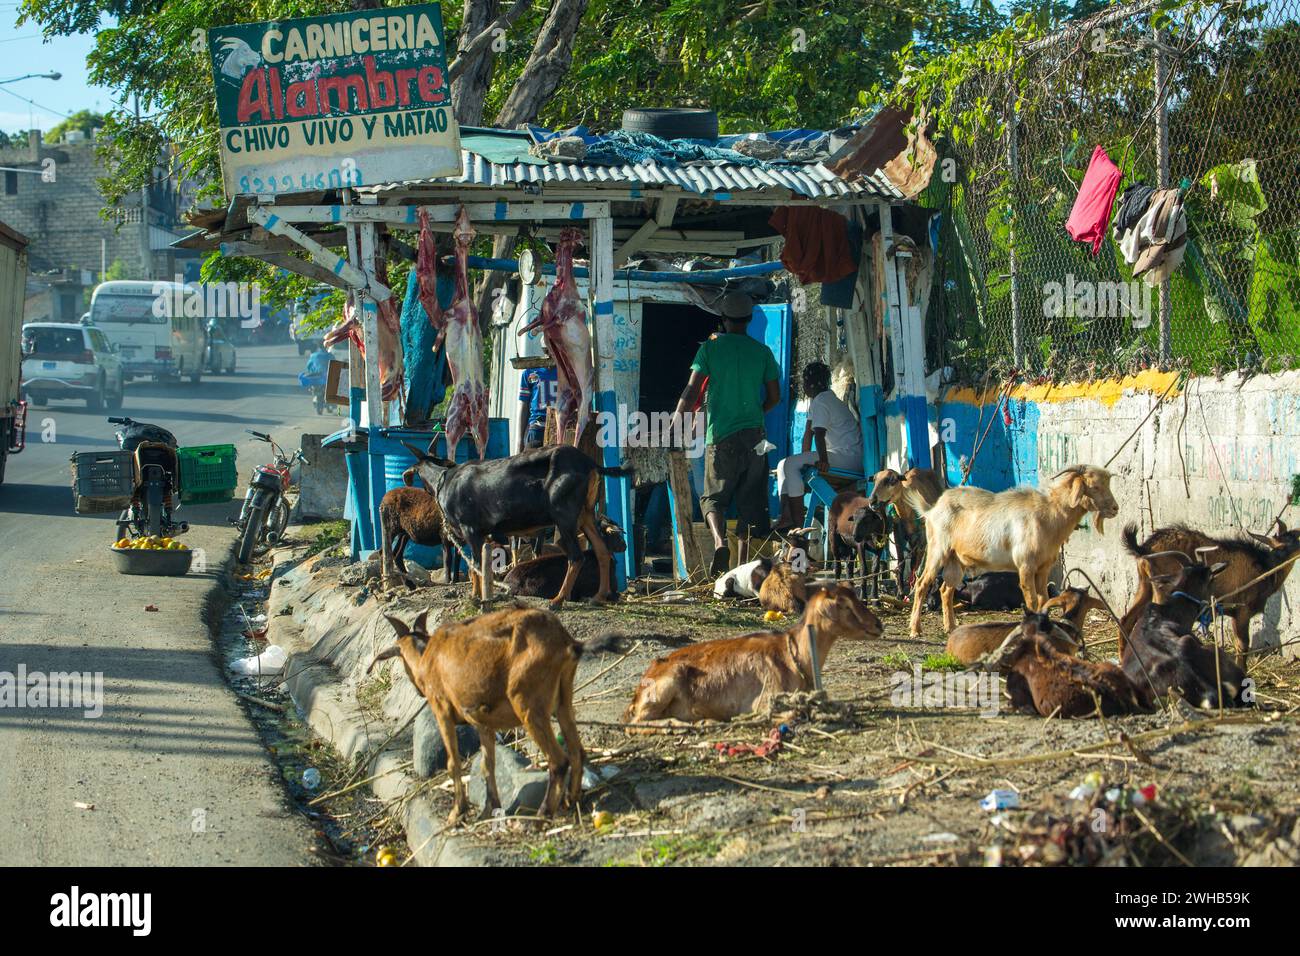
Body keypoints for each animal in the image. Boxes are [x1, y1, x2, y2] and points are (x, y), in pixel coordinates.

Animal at [368, 607, 609, 824]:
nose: (418, 691)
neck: (428, 656)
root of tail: (566, 642)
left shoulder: (442, 710)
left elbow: (453, 763)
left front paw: (456, 814)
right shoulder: (483, 722)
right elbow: (487, 764)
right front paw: (488, 810)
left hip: (528, 704)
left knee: (559, 760)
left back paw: (541, 816)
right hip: (563, 700)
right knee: (577, 751)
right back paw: (571, 801)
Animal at [407, 442, 629, 608]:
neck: (445, 480)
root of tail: (589, 462)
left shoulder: (471, 530)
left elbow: (476, 566)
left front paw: (478, 598)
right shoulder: (483, 534)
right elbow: (475, 568)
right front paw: (475, 595)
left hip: (564, 516)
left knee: (576, 557)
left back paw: (557, 601)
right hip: (586, 515)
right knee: (601, 551)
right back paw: (598, 597)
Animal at [623, 585, 883, 724]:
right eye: (843, 604)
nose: (878, 625)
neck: (792, 655)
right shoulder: (764, 700)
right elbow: (791, 715)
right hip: (664, 687)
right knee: (637, 724)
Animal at [908, 465, 1119, 637]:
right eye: (1095, 486)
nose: (1115, 508)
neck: (1049, 514)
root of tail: (932, 509)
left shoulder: (1043, 568)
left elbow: (1044, 600)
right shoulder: (1026, 566)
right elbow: (1032, 601)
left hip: (957, 559)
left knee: (946, 590)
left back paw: (950, 627)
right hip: (937, 550)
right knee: (921, 584)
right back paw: (915, 630)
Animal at [1120, 520, 1300, 670]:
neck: (1266, 567)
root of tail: (1144, 548)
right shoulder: (1242, 610)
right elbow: (1242, 645)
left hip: (1145, 585)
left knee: (1126, 619)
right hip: (1162, 591)